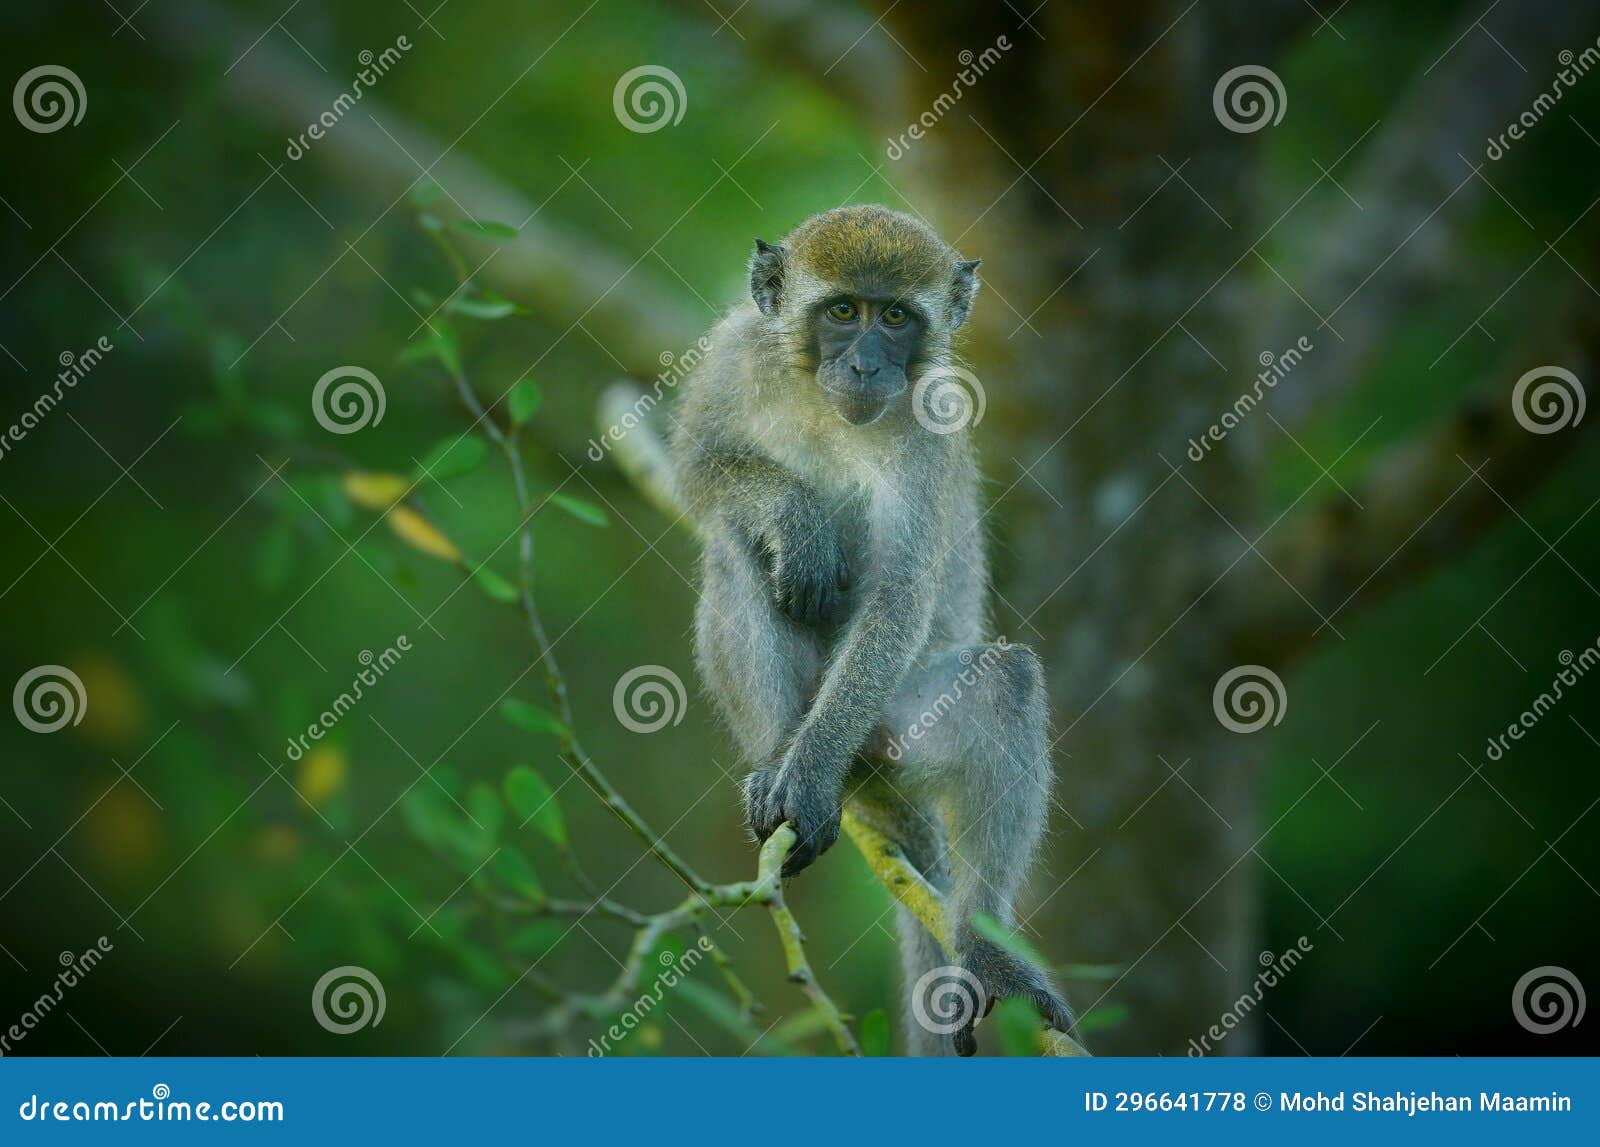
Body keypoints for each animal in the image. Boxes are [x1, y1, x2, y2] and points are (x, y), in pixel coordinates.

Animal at [667, 205, 1072, 1055]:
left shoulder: (931, 423)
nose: (862, 368)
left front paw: (811, 773)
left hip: (890, 734)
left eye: (894, 318)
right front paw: (792, 511)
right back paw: (777, 752)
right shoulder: (733, 349)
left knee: (1006, 684)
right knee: (734, 545)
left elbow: (899, 593)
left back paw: (980, 942)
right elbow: (698, 469)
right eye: (844, 310)